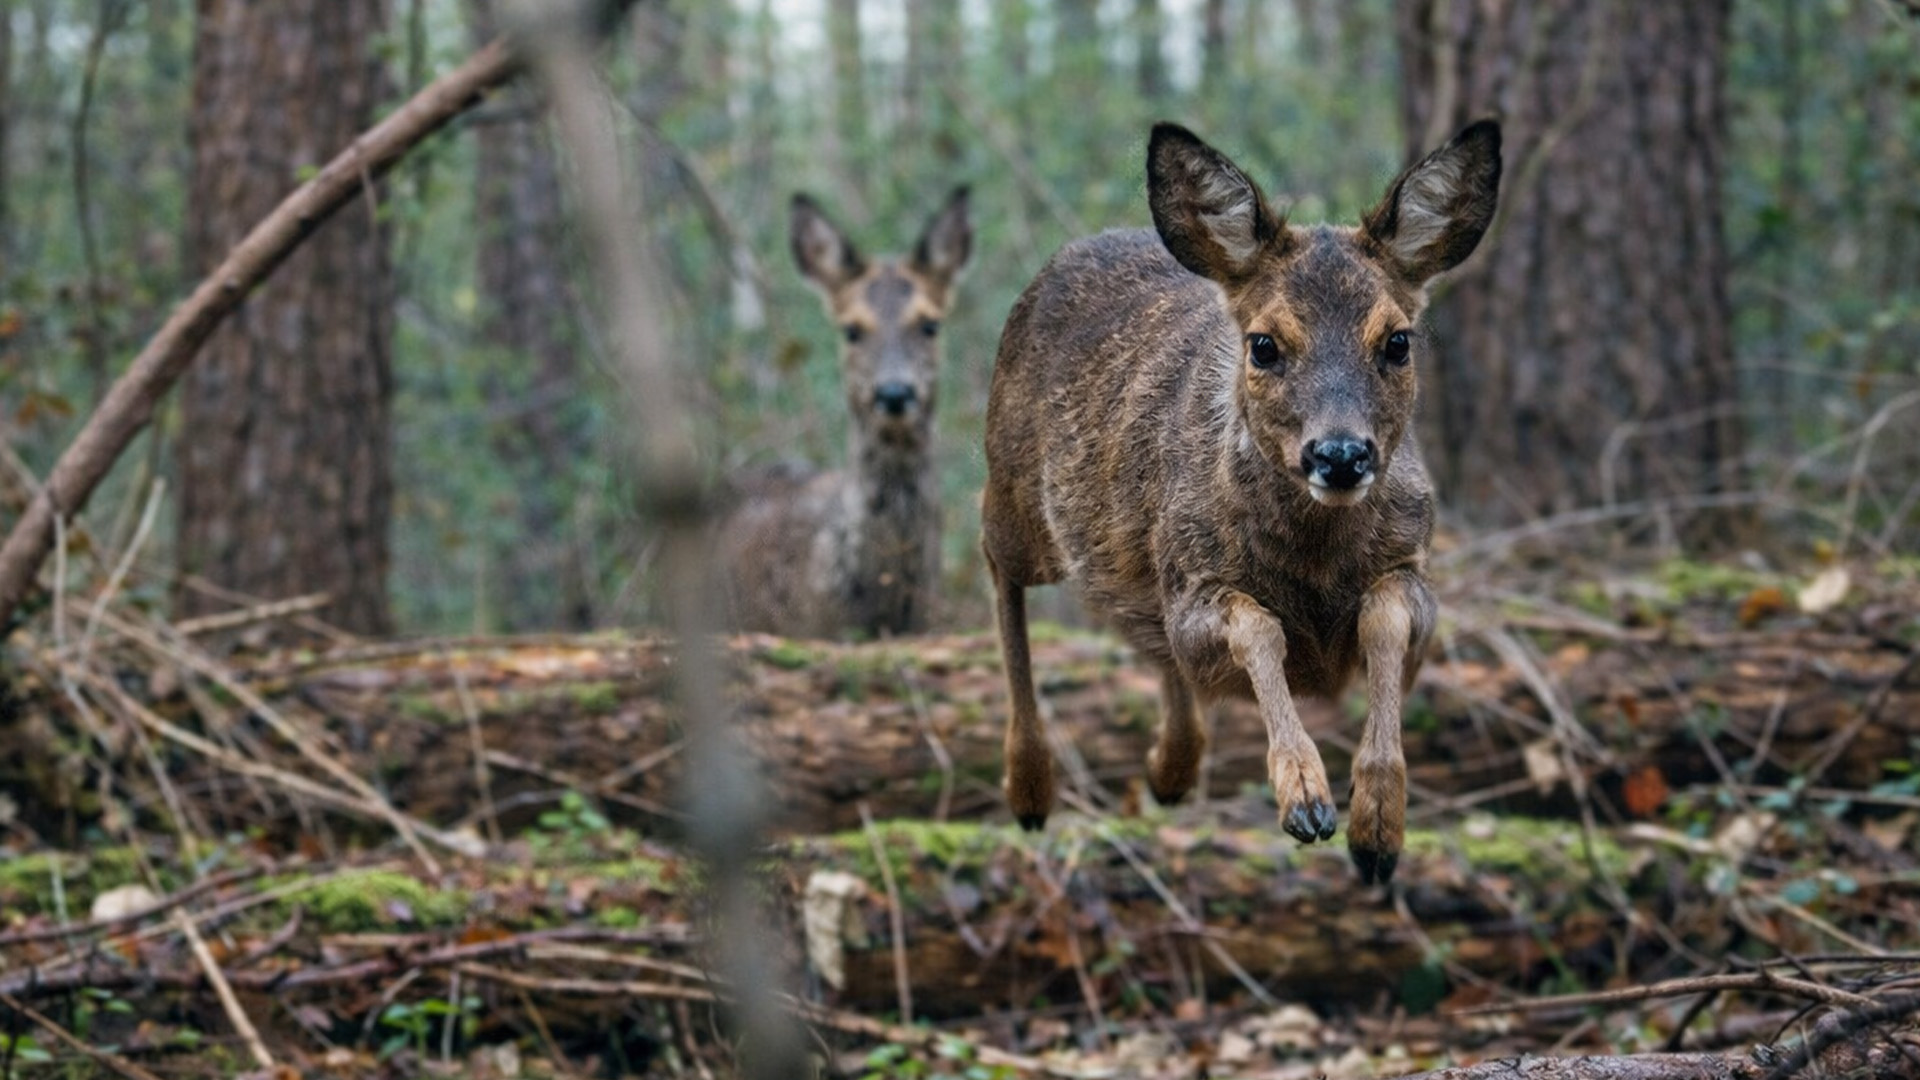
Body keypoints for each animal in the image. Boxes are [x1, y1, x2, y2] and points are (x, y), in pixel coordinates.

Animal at [981, 121, 1500, 884]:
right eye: (1263, 344)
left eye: (1398, 340)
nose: (1340, 455)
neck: (1315, 564)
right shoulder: (1195, 586)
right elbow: (1259, 628)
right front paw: (1306, 799)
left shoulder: (1414, 569)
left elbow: (1382, 618)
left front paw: (1377, 828)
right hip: (1014, 489)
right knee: (998, 567)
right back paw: (1029, 789)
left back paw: (1170, 772)